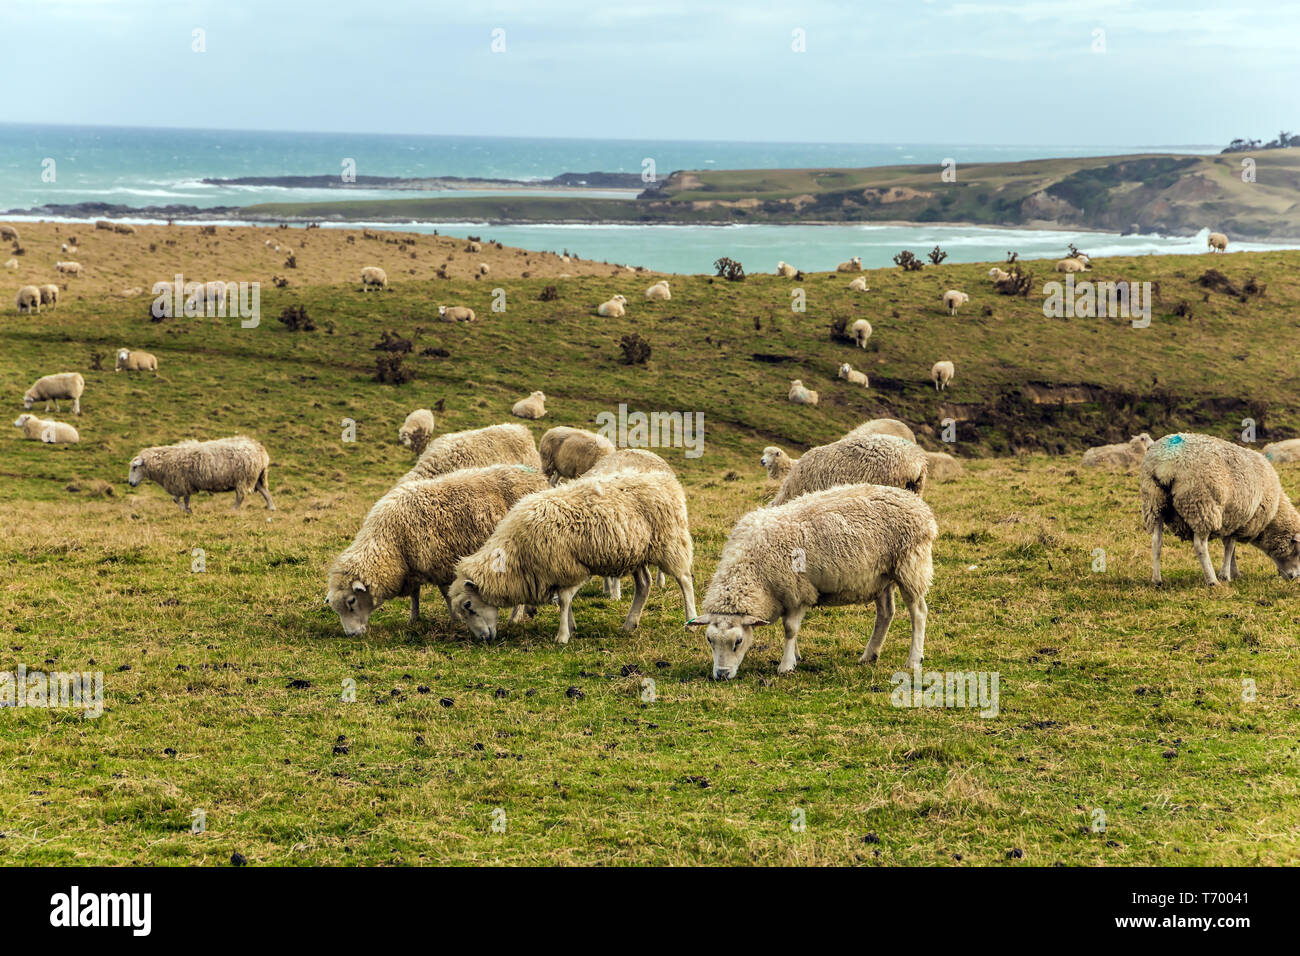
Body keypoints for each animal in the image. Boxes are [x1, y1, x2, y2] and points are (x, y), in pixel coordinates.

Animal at [127, 436, 274, 513]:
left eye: (134, 467)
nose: (130, 483)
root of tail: (260, 449)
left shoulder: (180, 482)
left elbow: (176, 499)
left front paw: (186, 510)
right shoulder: (186, 484)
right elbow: (184, 499)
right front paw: (188, 510)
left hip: (243, 478)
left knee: (240, 497)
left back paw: (232, 510)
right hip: (256, 477)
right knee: (265, 492)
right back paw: (271, 507)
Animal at [325, 464, 549, 636]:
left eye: (352, 601)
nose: (352, 634)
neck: (390, 539)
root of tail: (537, 476)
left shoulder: (441, 564)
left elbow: (446, 594)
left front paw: (455, 618)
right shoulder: (412, 568)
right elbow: (415, 595)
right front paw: (414, 618)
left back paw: (516, 617)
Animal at [449, 471, 697, 643]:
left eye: (469, 605)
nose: (482, 639)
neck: (516, 550)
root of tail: (665, 479)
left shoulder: (570, 567)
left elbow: (564, 600)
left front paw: (562, 635)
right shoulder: (562, 571)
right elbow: (566, 601)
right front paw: (571, 625)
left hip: (670, 543)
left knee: (685, 580)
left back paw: (691, 621)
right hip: (636, 553)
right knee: (644, 584)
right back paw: (630, 623)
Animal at [689, 483, 937, 678]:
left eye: (738, 641)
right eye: (709, 640)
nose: (721, 675)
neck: (750, 566)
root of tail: (917, 504)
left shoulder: (798, 590)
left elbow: (790, 629)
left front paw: (786, 665)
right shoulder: (786, 594)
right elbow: (790, 628)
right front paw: (796, 655)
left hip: (911, 565)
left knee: (918, 612)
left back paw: (914, 658)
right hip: (880, 576)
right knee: (886, 613)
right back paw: (869, 654)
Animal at [1141, 432, 1300, 587]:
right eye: (1298, 551)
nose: (1295, 577)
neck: (1272, 516)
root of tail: (1166, 463)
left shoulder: (1230, 521)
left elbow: (1230, 548)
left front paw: (1234, 573)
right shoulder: (1237, 520)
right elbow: (1230, 548)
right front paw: (1226, 575)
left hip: (1154, 502)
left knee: (1156, 542)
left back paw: (1157, 580)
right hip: (1201, 506)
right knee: (1200, 546)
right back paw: (1212, 581)